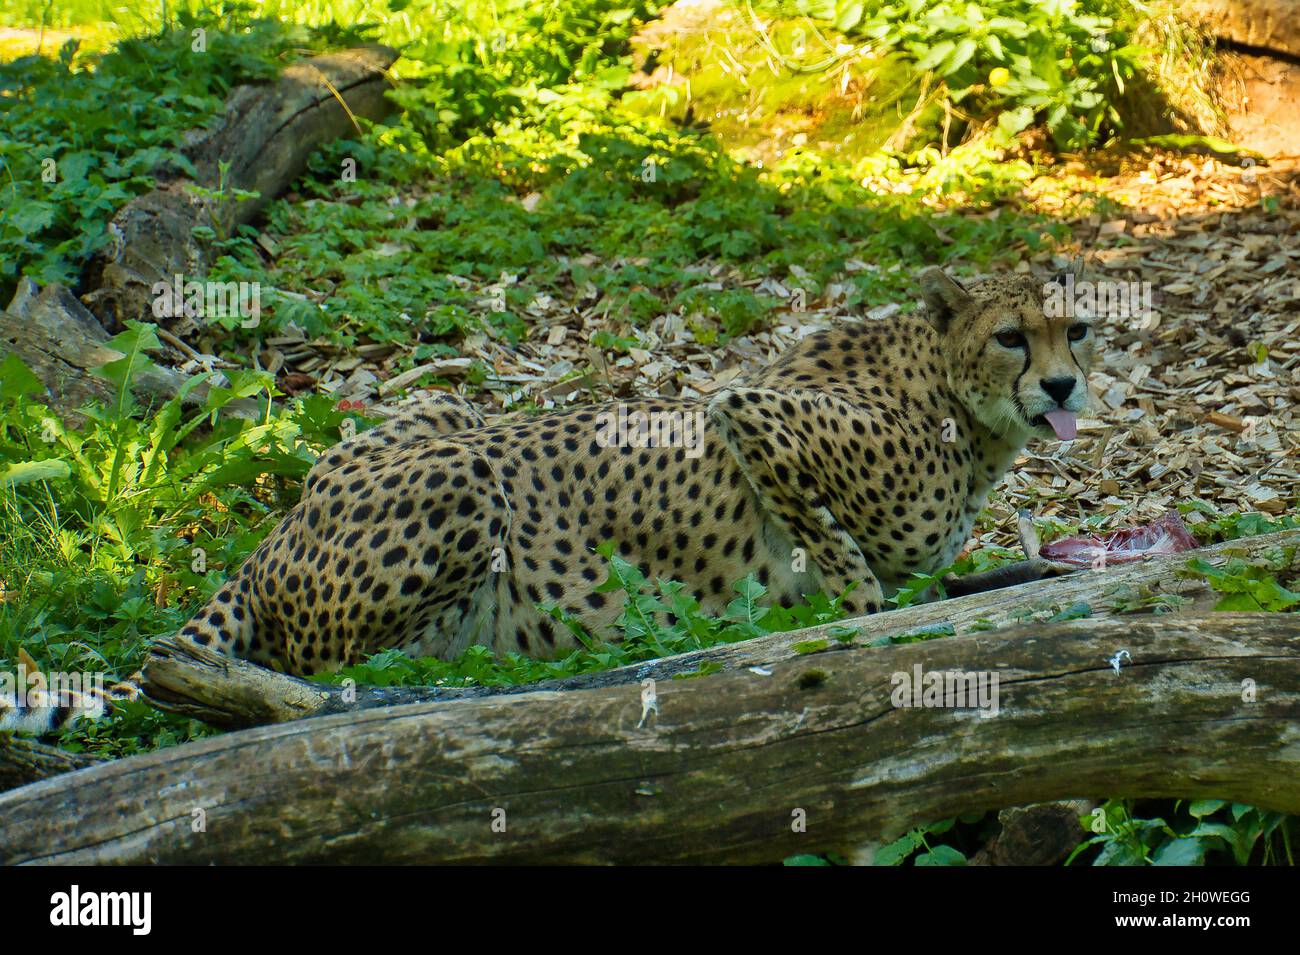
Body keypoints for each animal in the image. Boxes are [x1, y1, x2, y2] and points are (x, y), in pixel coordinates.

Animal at [1, 267, 1096, 731]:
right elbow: (851, 572)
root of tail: (283, 523)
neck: (953, 399)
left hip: (429, 418)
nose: (1061, 387)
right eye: (1012, 336)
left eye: (1076, 328)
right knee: (321, 667)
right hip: (462, 480)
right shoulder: (751, 413)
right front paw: (849, 620)